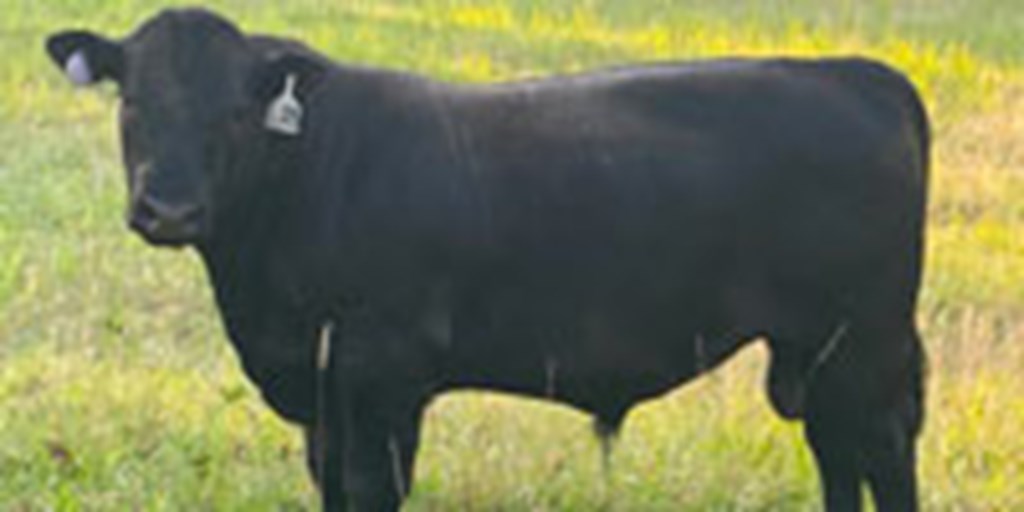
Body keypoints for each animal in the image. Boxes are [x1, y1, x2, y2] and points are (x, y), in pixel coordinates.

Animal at [46, 7, 930, 511]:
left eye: (235, 110)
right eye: (131, 101)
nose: (168, 210)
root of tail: (853, 73)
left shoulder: (382, 373)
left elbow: (372, 490)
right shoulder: (327, 393)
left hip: (866, 345)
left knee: (882, 456)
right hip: (817, 354)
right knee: (838, 456)